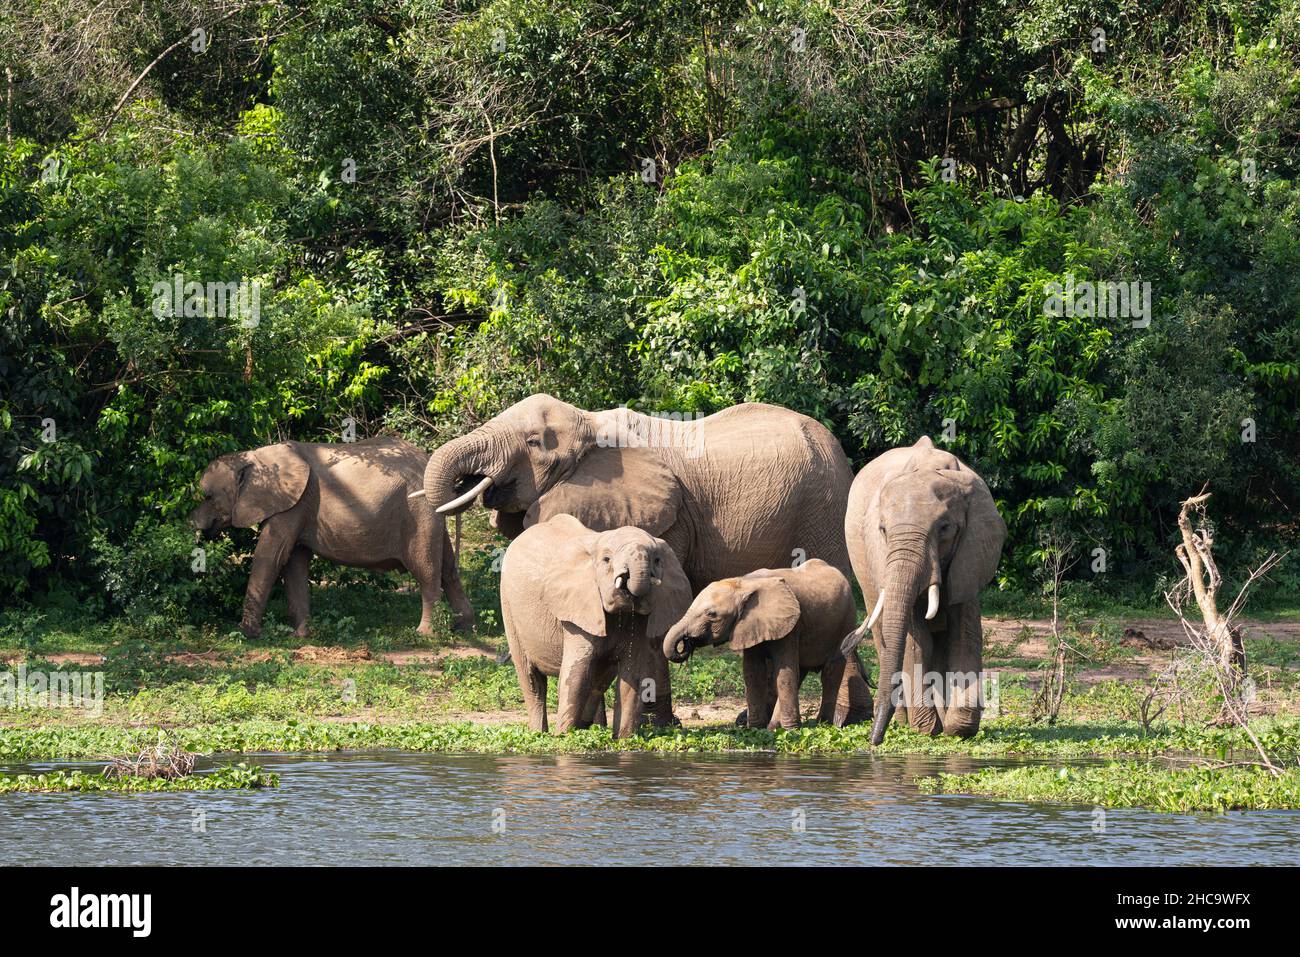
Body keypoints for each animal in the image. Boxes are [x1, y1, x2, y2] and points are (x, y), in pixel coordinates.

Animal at [189, 437, 474, 639]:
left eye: (208, 497)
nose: (194, 524)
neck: (254, 456)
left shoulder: (292, 505)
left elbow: (270, 557)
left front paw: (246, 633)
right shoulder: (299, 506)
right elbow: (294, 562)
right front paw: (302, 635)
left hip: (419, 513)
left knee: (427, 570)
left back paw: (426, 635)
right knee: (448, 569)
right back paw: (465, 628)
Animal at [500, 514, 693, 737]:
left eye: (657, 560)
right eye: (607, 559)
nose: (627, 578)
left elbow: (632, 676)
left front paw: (623, 740)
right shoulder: (579, 613)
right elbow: (576, 676)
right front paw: (562, 738)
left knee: (600, 679)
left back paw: (588, 728)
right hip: (508, 606)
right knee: (531, 679)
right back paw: (539, 733)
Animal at [661, 560, 873, 729]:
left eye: (711, 614)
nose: (686, 643)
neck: (743, 584)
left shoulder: (791, 625)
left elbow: (784, 672)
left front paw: (789, 731)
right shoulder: (748, 625)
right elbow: (752, 672)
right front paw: (754, 729)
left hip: (845, 622)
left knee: (830, 671)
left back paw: (822, 724)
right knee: (800, 672)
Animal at [840, 436, 1006, 745]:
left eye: (944, 528)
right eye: (882, 530)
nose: (873, 741)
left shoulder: (969, 556)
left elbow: (964, 635)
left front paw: (957, 727)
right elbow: (915, 639)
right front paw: (926, 728)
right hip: (863, 566)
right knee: (883, 629)